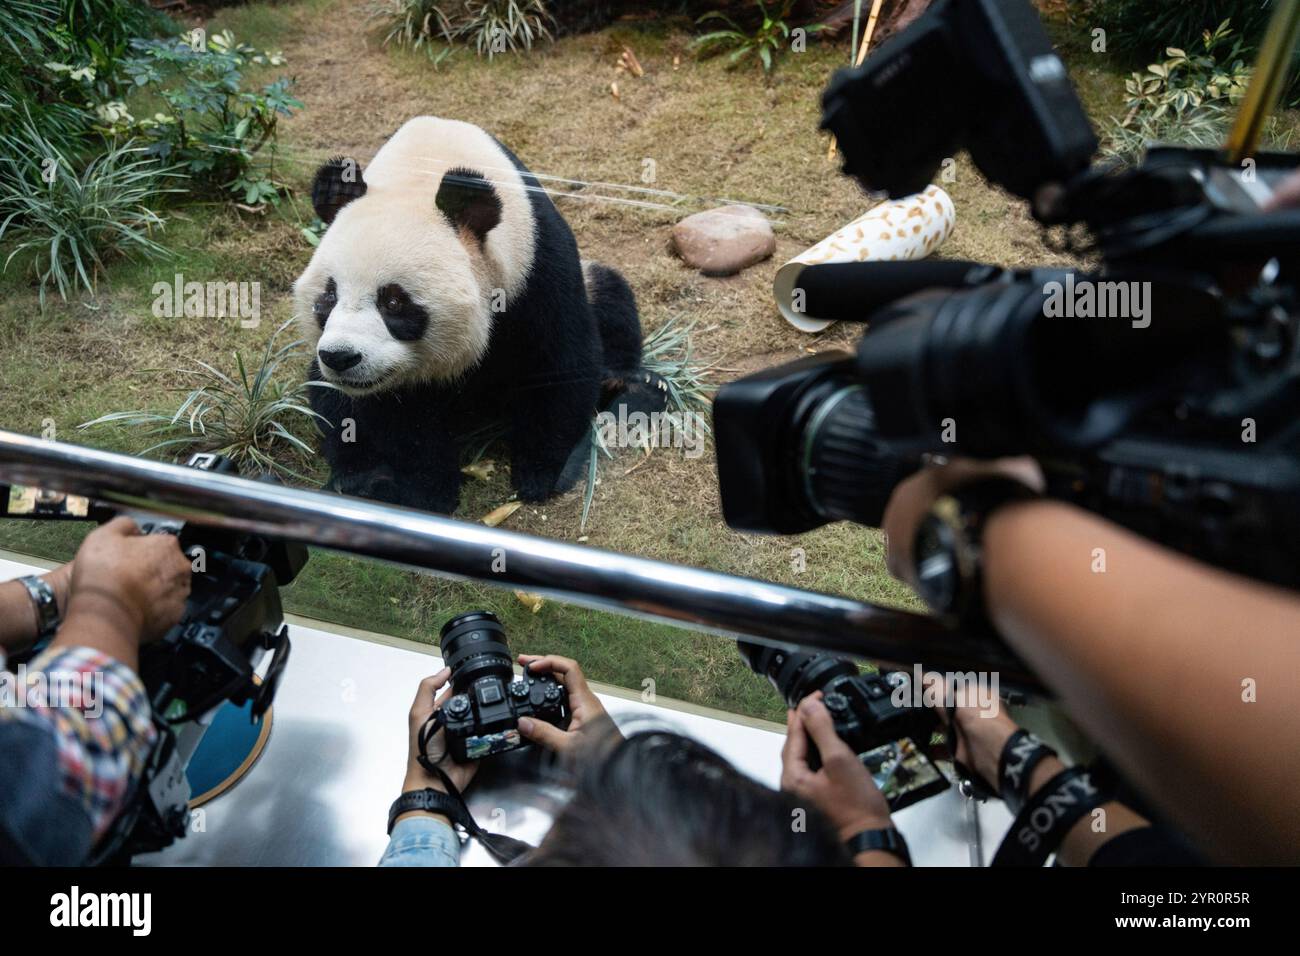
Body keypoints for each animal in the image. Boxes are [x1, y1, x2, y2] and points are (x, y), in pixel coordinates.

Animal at [293, 116, 660, 513]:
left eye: (393, 302)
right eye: (328, 296)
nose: (341, 357)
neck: (423, 170)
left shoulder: (535, 264)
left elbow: (558, 362)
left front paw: (541, 474)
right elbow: (393, 415)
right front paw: (426, 490)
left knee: (609, 294)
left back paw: (630, 386)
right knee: (329, 399)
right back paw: (360, 481)